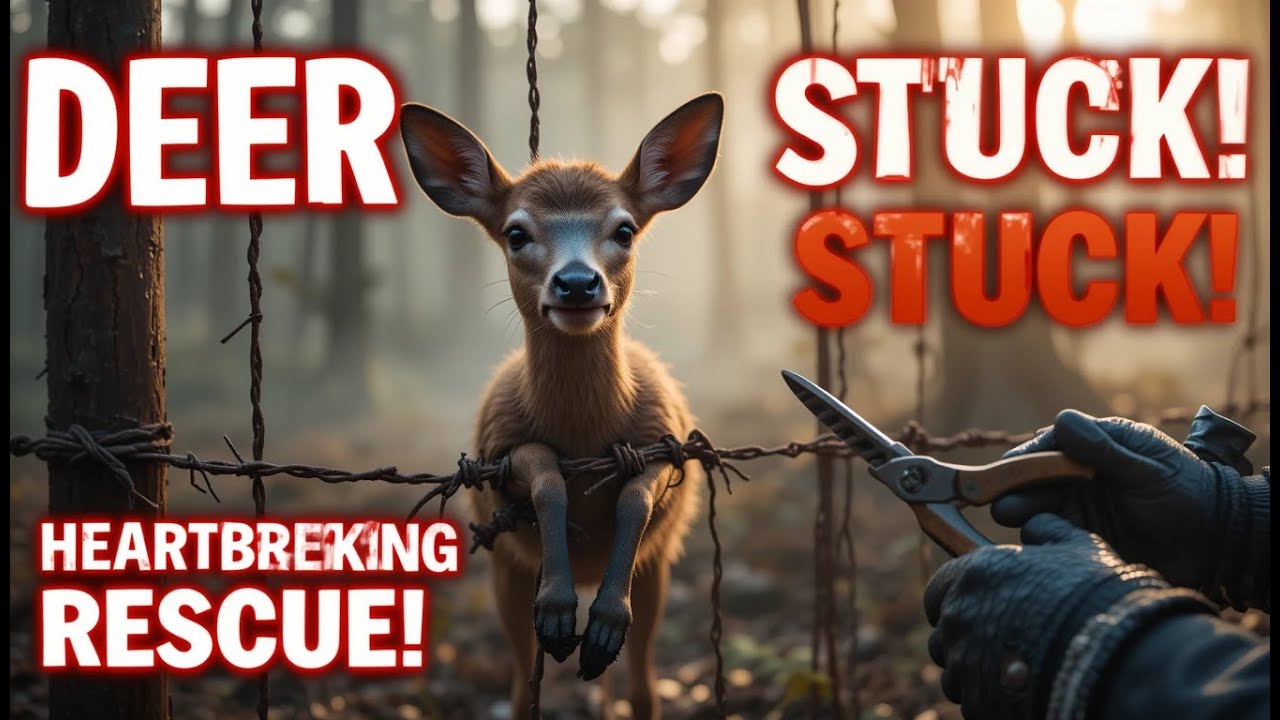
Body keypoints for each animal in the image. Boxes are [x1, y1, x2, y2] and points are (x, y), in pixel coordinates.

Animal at [398, 94, 723, 719]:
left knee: (643, 685)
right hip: (503, 566)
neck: (584, 430)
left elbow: (637, 498)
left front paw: (602, 625)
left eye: (624, 229)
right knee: (521, 687)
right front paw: (557, 610)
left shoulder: (662, 444)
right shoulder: (501, 449)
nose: (576, 283)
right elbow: (546, 477)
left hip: (659, 569)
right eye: (516, 232)